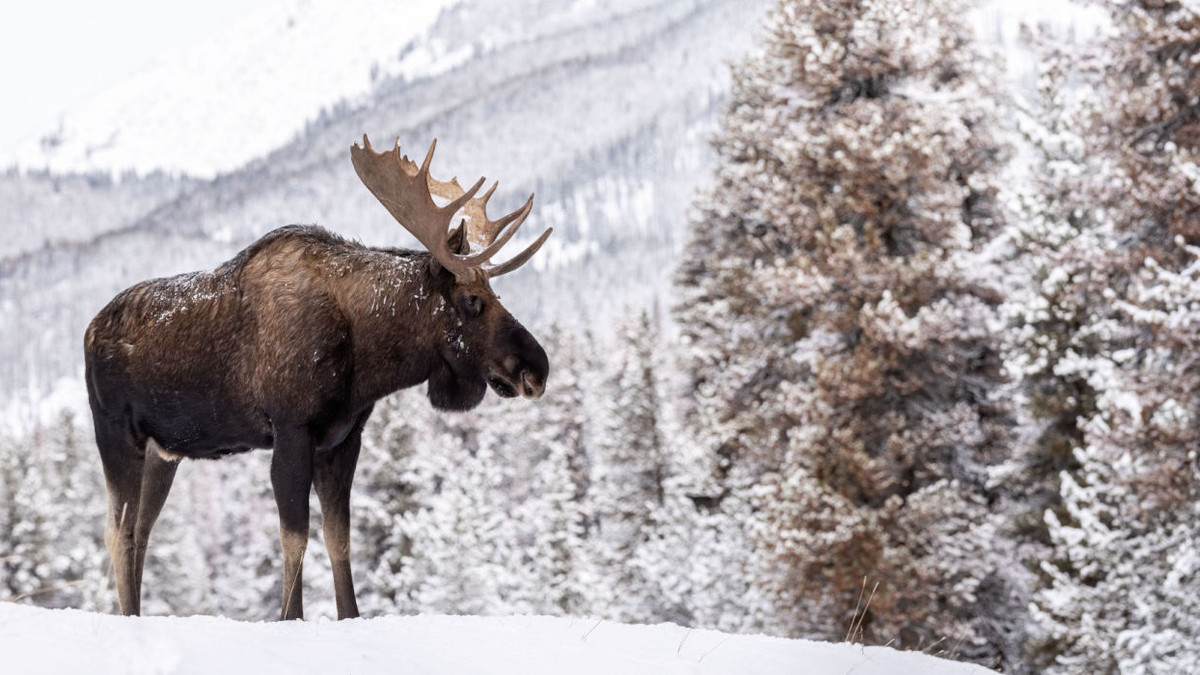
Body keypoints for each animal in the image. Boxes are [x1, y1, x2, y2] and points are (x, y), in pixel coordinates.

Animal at [84, 135, 551, 620]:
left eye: (496, 293)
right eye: (472, 300)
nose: (537, 368)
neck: (366, 356)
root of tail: (89, 331)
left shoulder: (343, 439)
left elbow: (338, 539)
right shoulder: (292, 430)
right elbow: (295, 539)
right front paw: (291, 617)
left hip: (165, 451)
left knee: (142, 531)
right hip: (116, 434)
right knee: (118, 532)